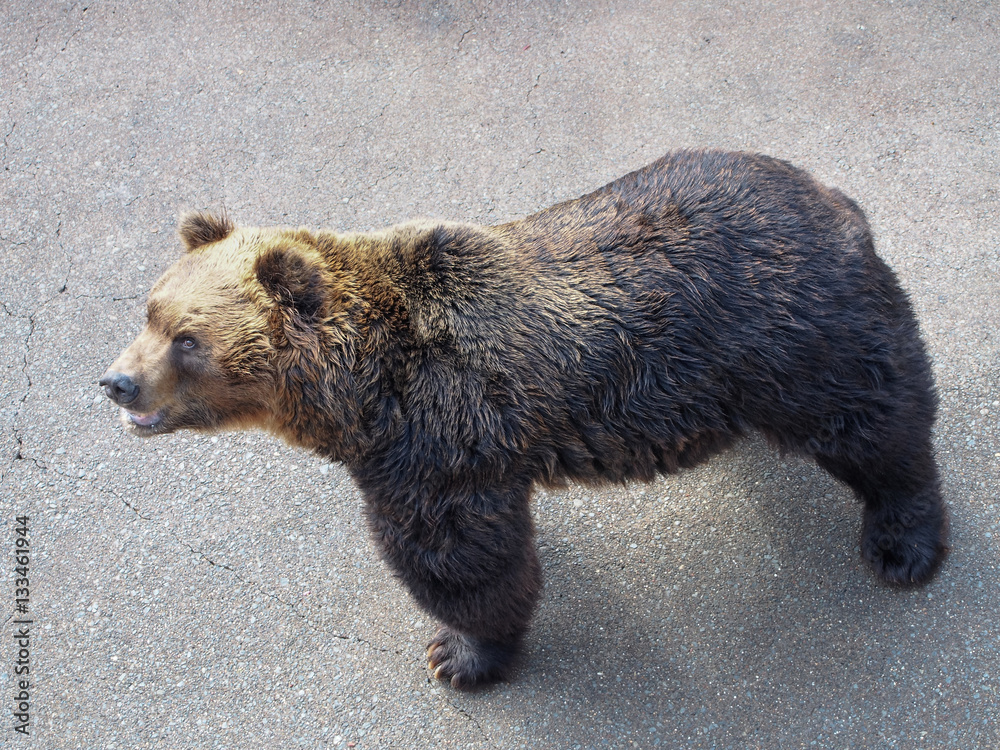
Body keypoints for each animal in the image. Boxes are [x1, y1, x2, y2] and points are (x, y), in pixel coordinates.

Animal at [100, 149, 947, 689]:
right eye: (150, 310)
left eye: (188, 340)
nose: (116, 382)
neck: (357, 396)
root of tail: (834, 200)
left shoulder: (436, 441)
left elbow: (462, 559)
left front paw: (461, 653)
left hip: (794, 335)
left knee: (874, 423)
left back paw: (903, 541)